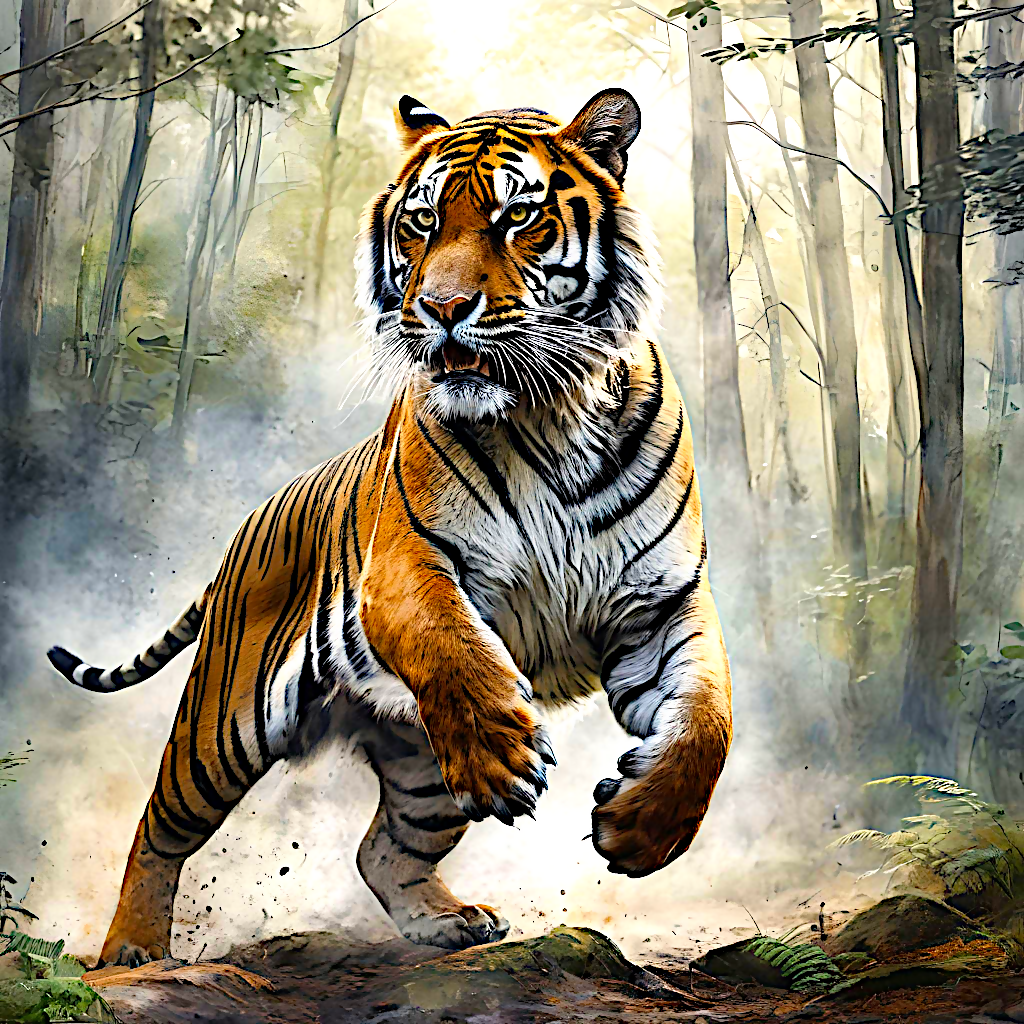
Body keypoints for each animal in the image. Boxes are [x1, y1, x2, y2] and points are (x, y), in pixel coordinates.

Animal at [47, 88, 733, 968]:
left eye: (518, 217)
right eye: (422, 222)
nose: (442, 310)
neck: (547, 411)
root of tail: (243, 532)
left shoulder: (662, 602)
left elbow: (707, 722)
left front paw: (643, 827)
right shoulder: (407, 565)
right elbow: (452, 645)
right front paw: (504, 753)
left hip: (420, 769)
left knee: (383, 849)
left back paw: (450, 922)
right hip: (221, 727)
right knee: (158, 825)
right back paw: (131, 950)